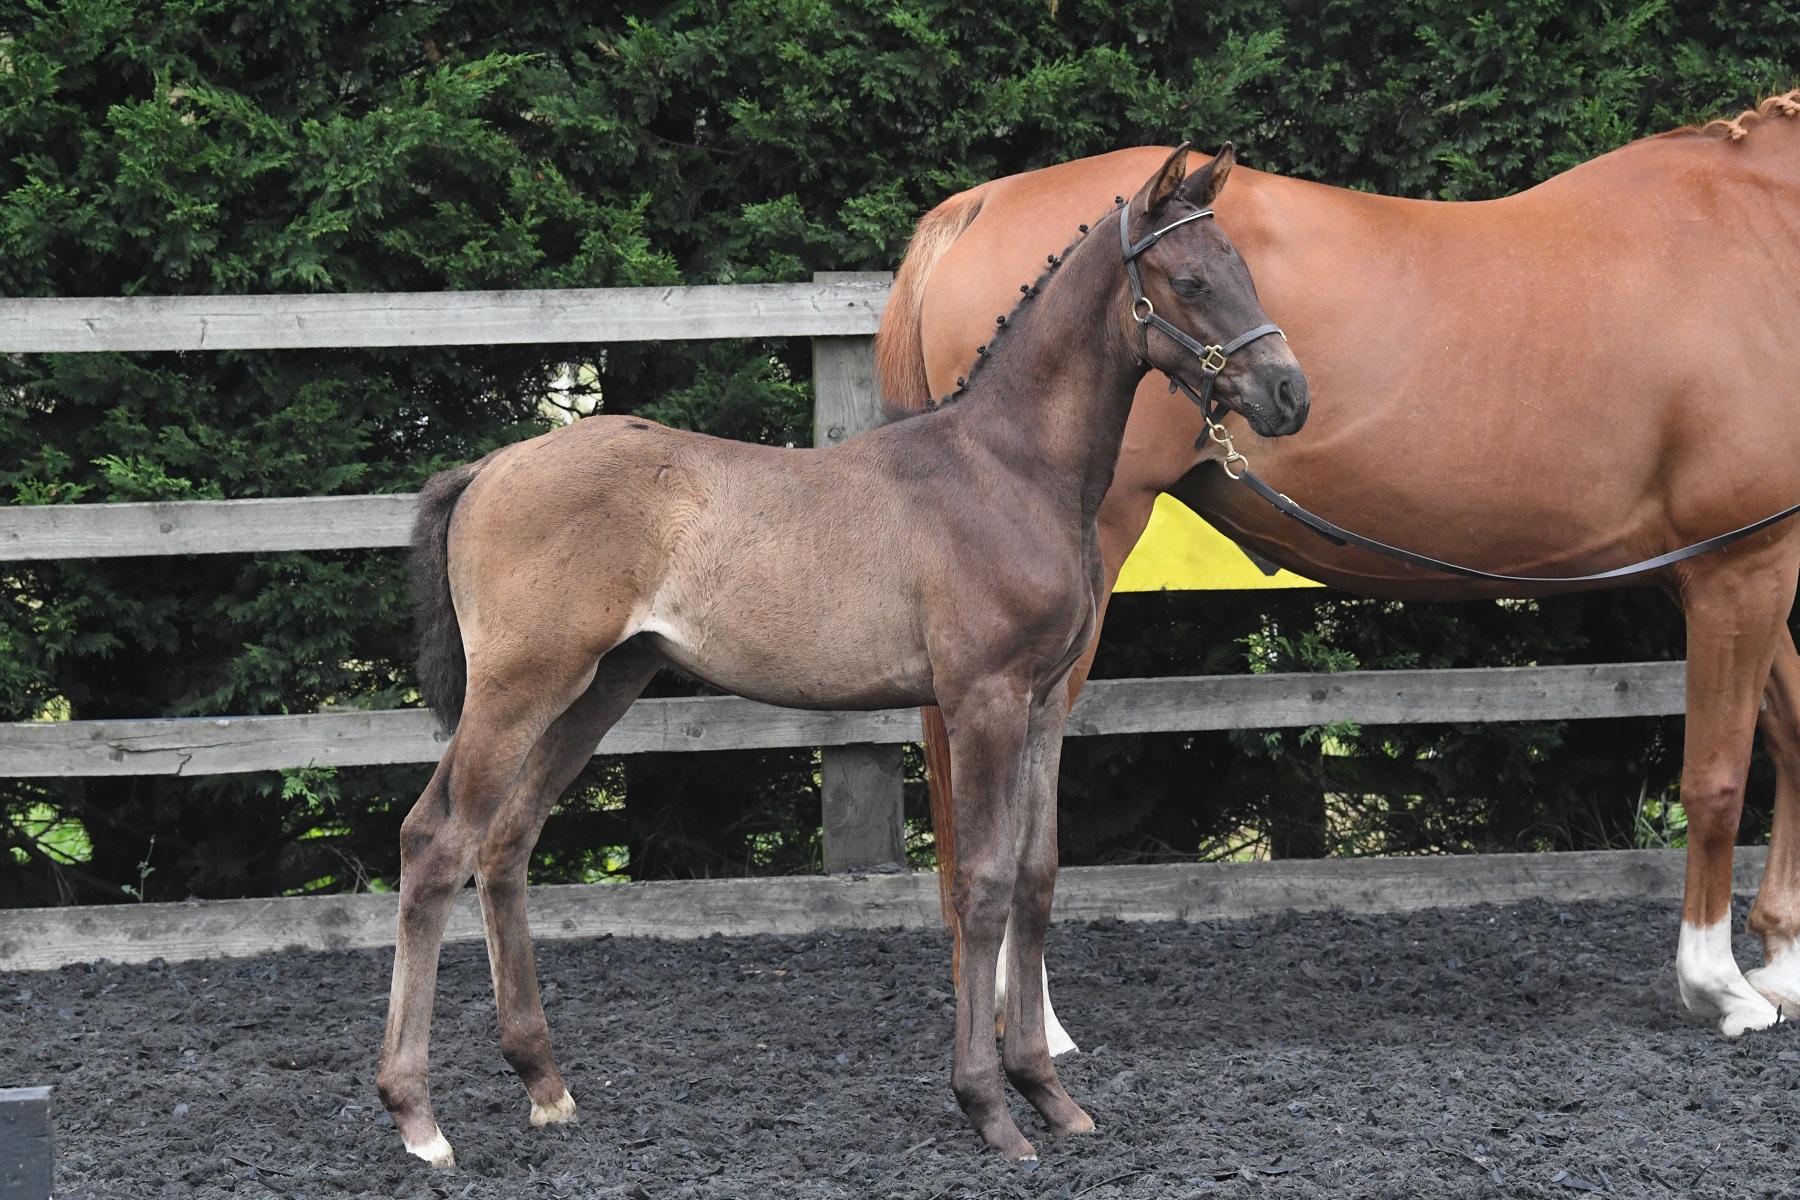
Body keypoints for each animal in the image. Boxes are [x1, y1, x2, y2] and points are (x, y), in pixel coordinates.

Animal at [375, 145, 1308, 1166]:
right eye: (1191, 281)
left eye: (1245, 267)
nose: (1289, 394)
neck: (1008, 469)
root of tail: (489, 468)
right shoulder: (982, 698)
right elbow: (982, 882)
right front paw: (990, 1109)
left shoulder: (1044, 701)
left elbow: (1036, 876)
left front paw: (1051, 1096)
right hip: (519, 686)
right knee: (435, 843)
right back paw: (418, 1120)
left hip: (599, 686)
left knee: (506, 841)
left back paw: (546, 1084)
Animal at [878, 92, 1800, 1048]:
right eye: (1193, 283)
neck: (1760, 233)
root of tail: (982, 203)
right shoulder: (1741, 567)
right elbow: (1720, 774)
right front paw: (1722, 986)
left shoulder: (1746, 561)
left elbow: (1792, 733)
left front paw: (1784, 963)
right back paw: (1038, 1025)